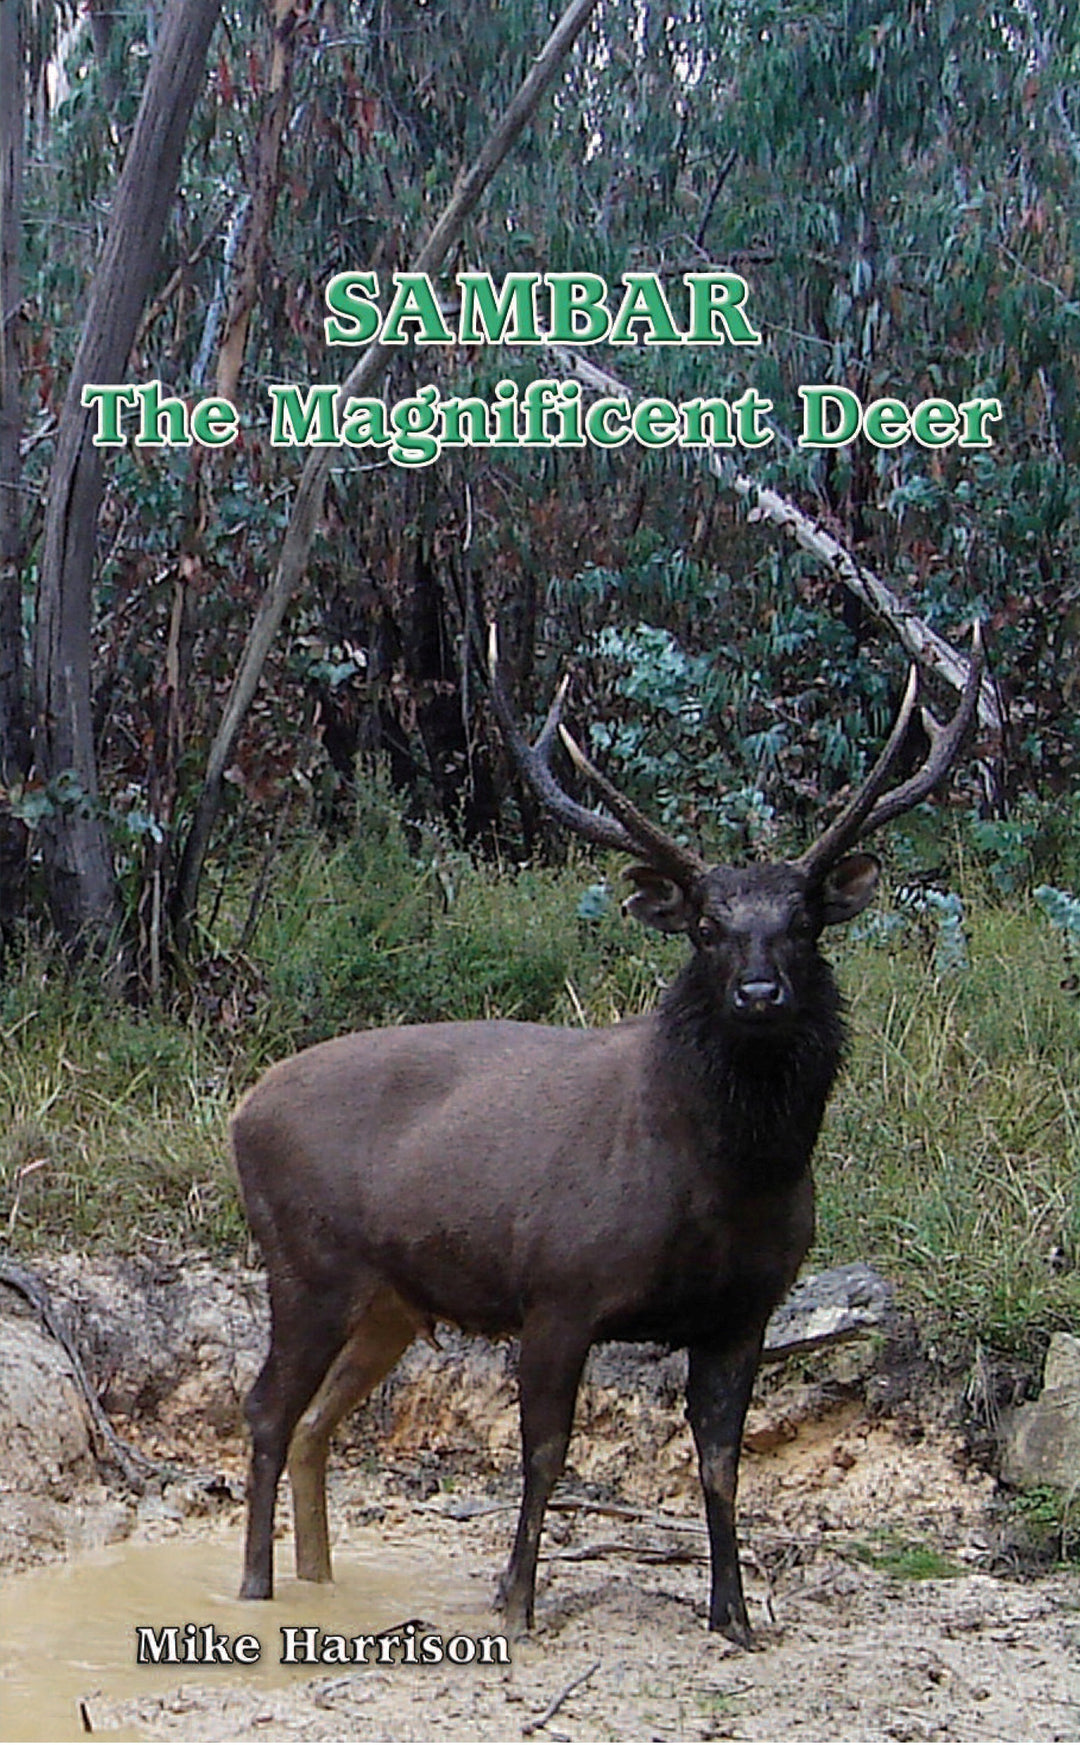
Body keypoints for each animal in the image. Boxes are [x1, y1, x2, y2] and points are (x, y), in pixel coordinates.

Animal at [233, 622, 985, 1646]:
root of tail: (241, 1112)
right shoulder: (559, 1286)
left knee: (317, 1424)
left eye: (803, 923)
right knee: (268, 1412)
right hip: (306, 1263)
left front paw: (734, 1614)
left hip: (390, 1298)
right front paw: (515, 1601)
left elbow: (721, 1461)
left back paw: (318, 1577)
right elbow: (545, 1453)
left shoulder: (747, 1310)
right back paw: (256, 1587)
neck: (719, 1184)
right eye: (706, 926)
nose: (759, 991)